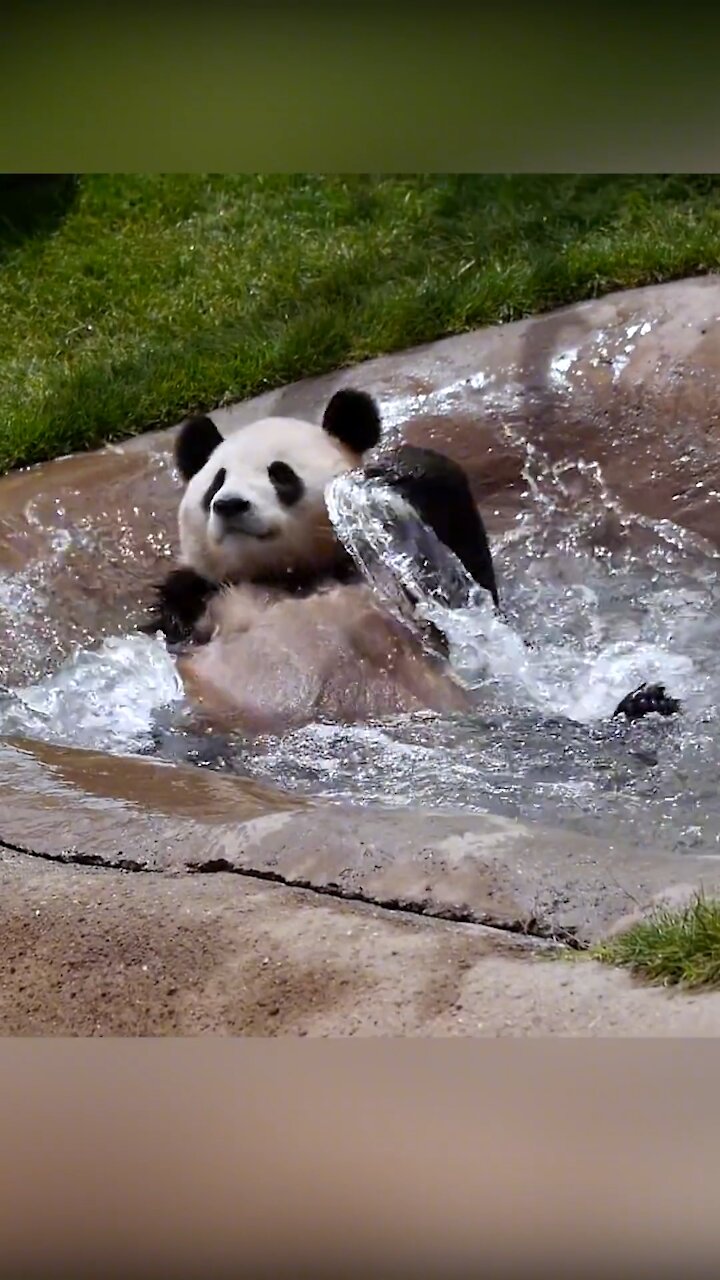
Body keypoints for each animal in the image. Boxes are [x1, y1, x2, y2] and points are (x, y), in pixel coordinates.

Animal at [142, 387, 680, 736]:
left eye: (280, 474)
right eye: (216, 480)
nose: (229, 505)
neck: (291, 575)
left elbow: (468, 590)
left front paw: (388, 477)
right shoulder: (211, 606)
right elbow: (177, 607)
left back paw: (640, 707)